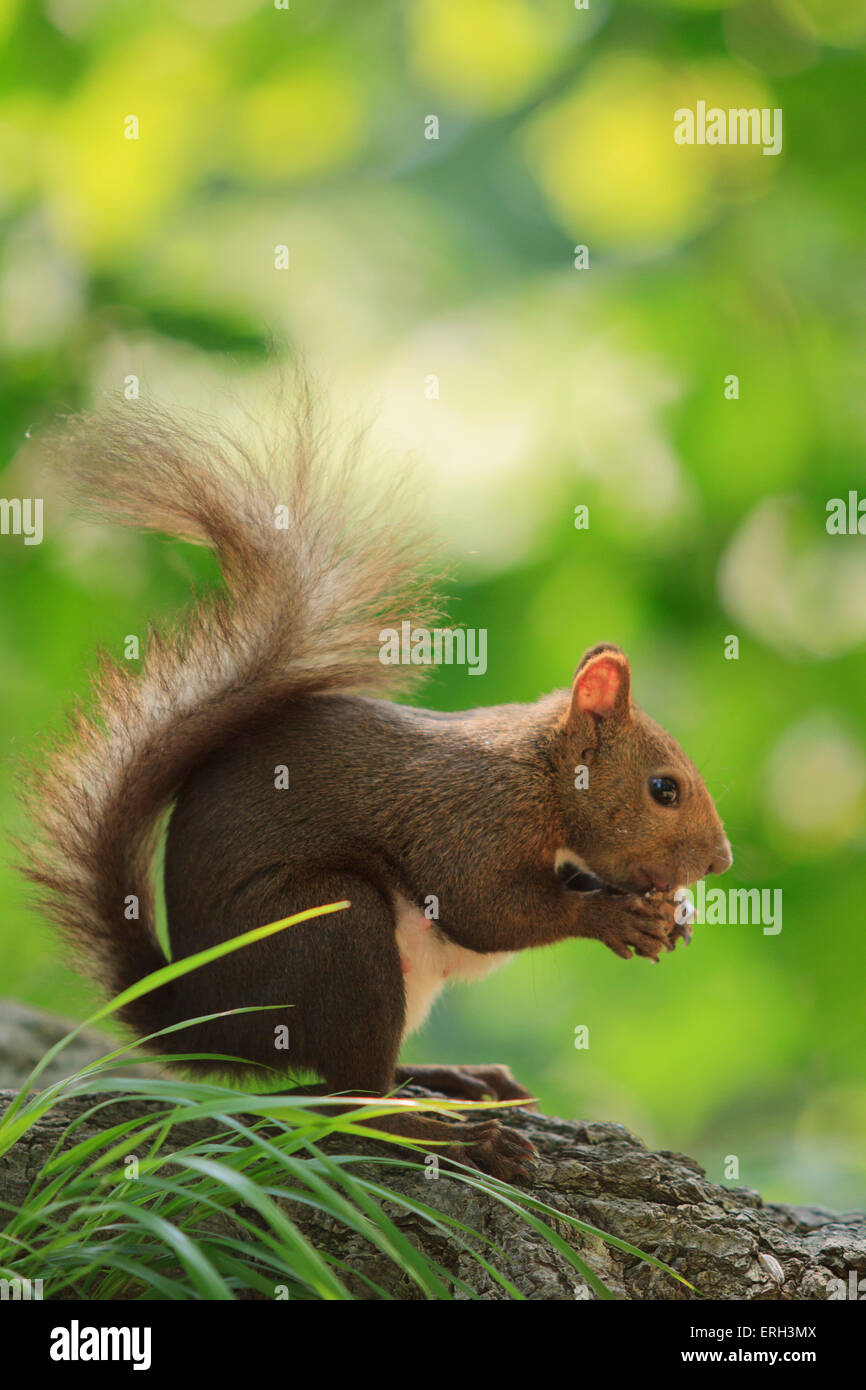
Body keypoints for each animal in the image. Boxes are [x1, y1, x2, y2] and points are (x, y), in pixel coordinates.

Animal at [20, 386, 732, 1182]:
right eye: (664, 789)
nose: (719, 863)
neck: (542, 777)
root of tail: (212, 1017)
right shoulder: (470, 821)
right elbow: (488, 910)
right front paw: (616, 918)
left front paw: (670, 914)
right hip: (334, 933)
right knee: (348, 1098)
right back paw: (454, 1135)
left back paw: (453, 1080)